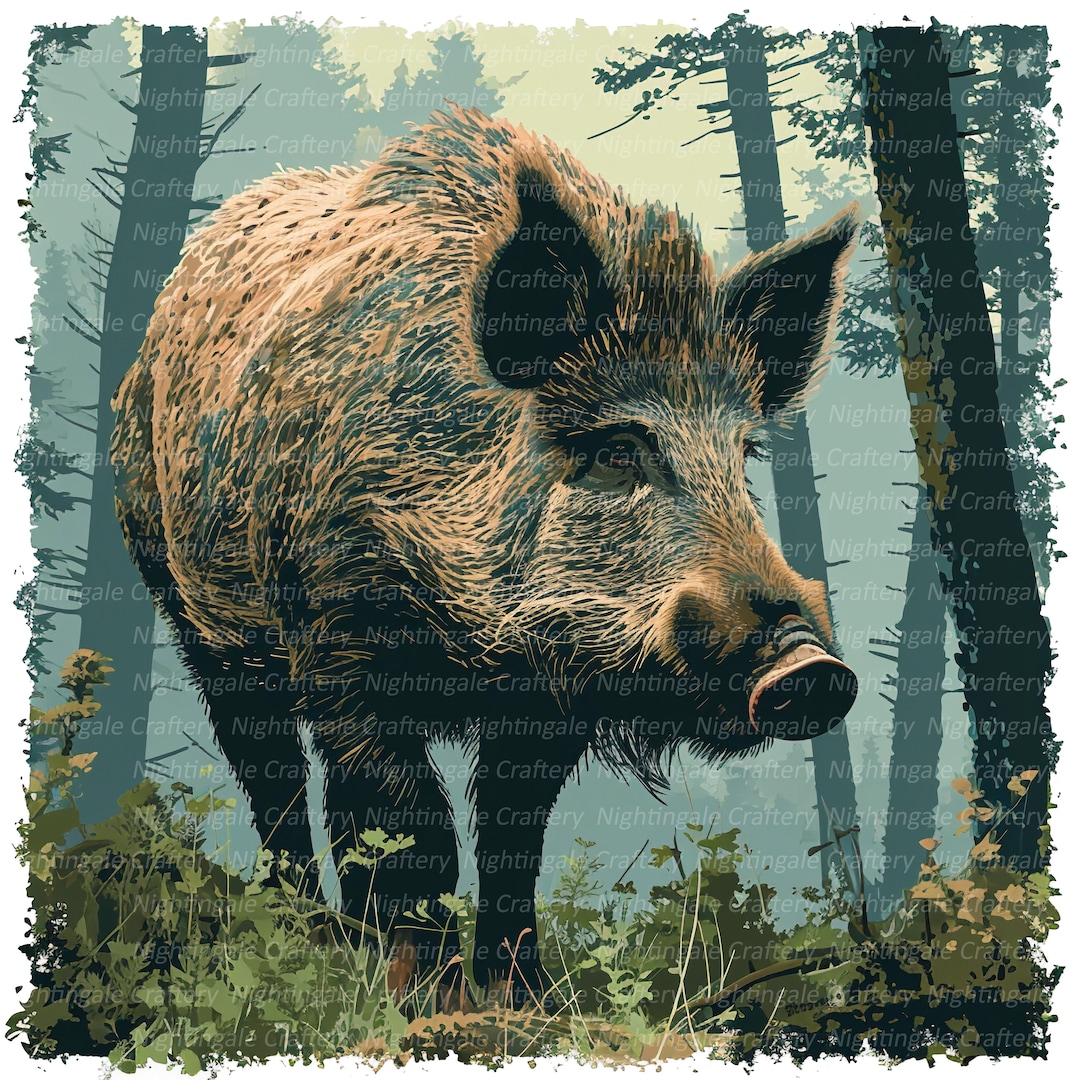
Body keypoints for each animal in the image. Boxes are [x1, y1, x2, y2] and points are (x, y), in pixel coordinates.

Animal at [111, 107, 858, 1007]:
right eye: (615, 450)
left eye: (744, 453)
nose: (811, 668)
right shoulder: (341, 640)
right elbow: (411, 825)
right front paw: (425, 1006)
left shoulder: (550, 696)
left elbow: (513, 838)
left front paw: (525, 1003)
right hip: (186, 599)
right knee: (271, 776)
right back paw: (307, 934)